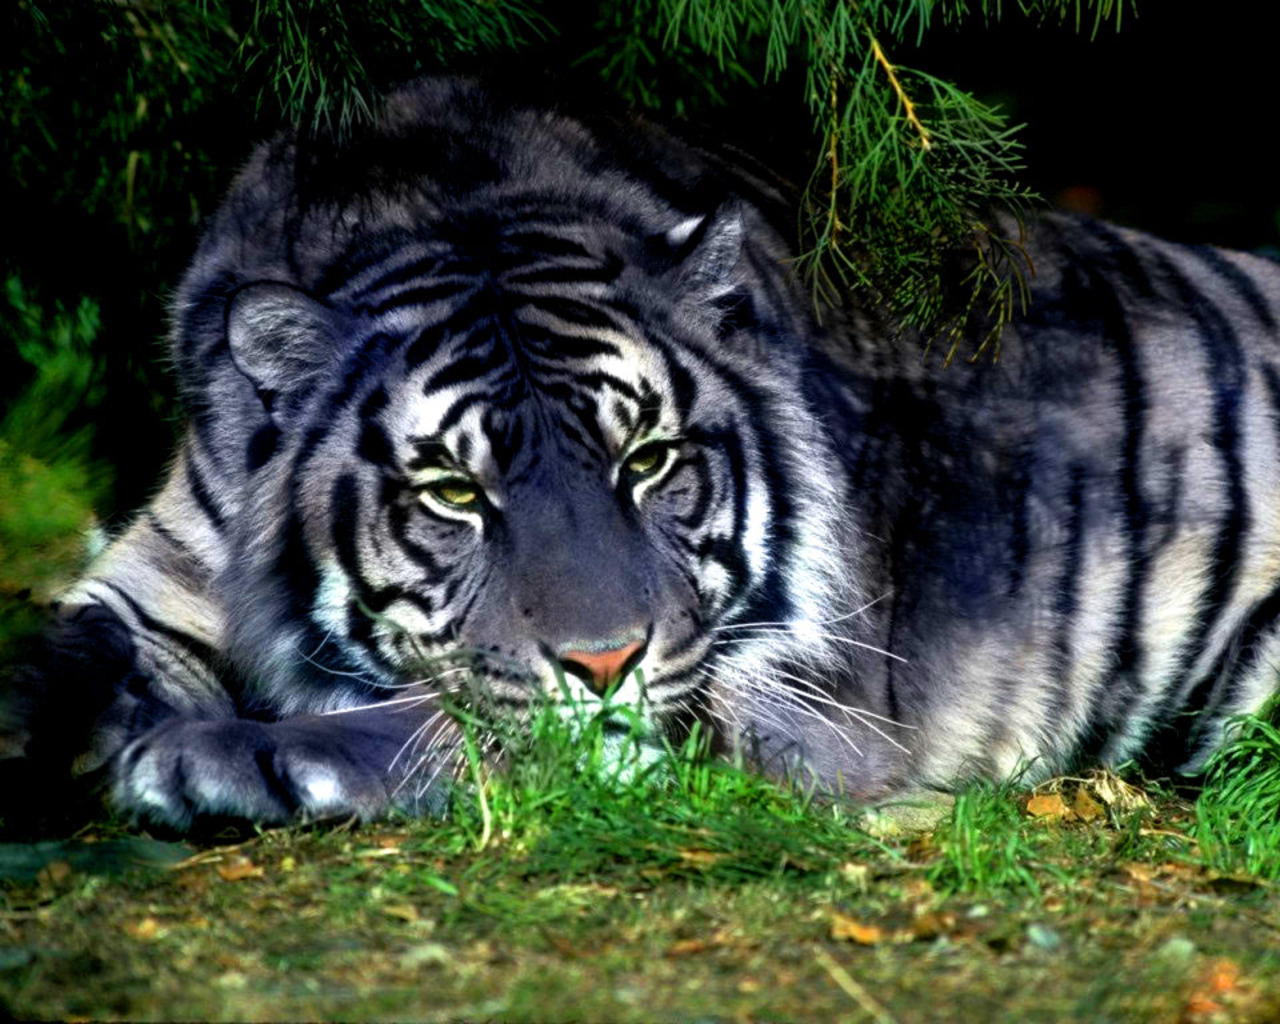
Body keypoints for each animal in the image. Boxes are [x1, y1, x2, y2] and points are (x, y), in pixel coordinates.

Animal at [4, 77, 1279, 832]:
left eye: (649, 459)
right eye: (452, 491)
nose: (604, 660)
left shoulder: (786, 696)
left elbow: (458, 719)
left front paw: (215, 758)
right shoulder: (151, 580)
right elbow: (60, 651)